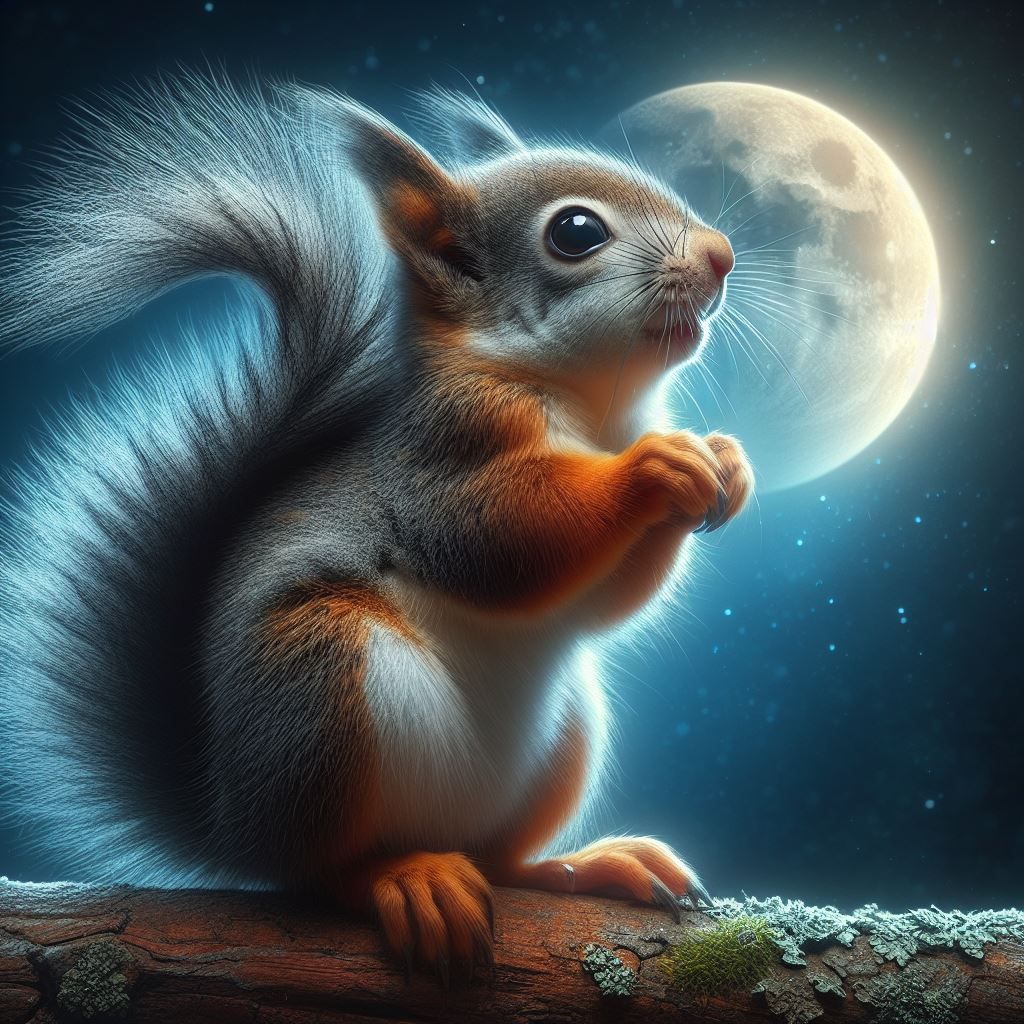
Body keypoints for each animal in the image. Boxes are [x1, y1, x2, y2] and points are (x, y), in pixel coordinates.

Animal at [0, 74, 752, 976]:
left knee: (503, 858)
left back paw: (585, 865)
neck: (599, 405)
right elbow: (503, 541)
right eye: (577, 232)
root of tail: (233, 822)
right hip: (320, 688)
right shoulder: (440, 459)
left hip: (563, 738)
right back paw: (404, 877)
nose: (721, 255)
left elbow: (601, 605)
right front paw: (654, 467)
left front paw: (726, 462)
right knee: (320, 869)